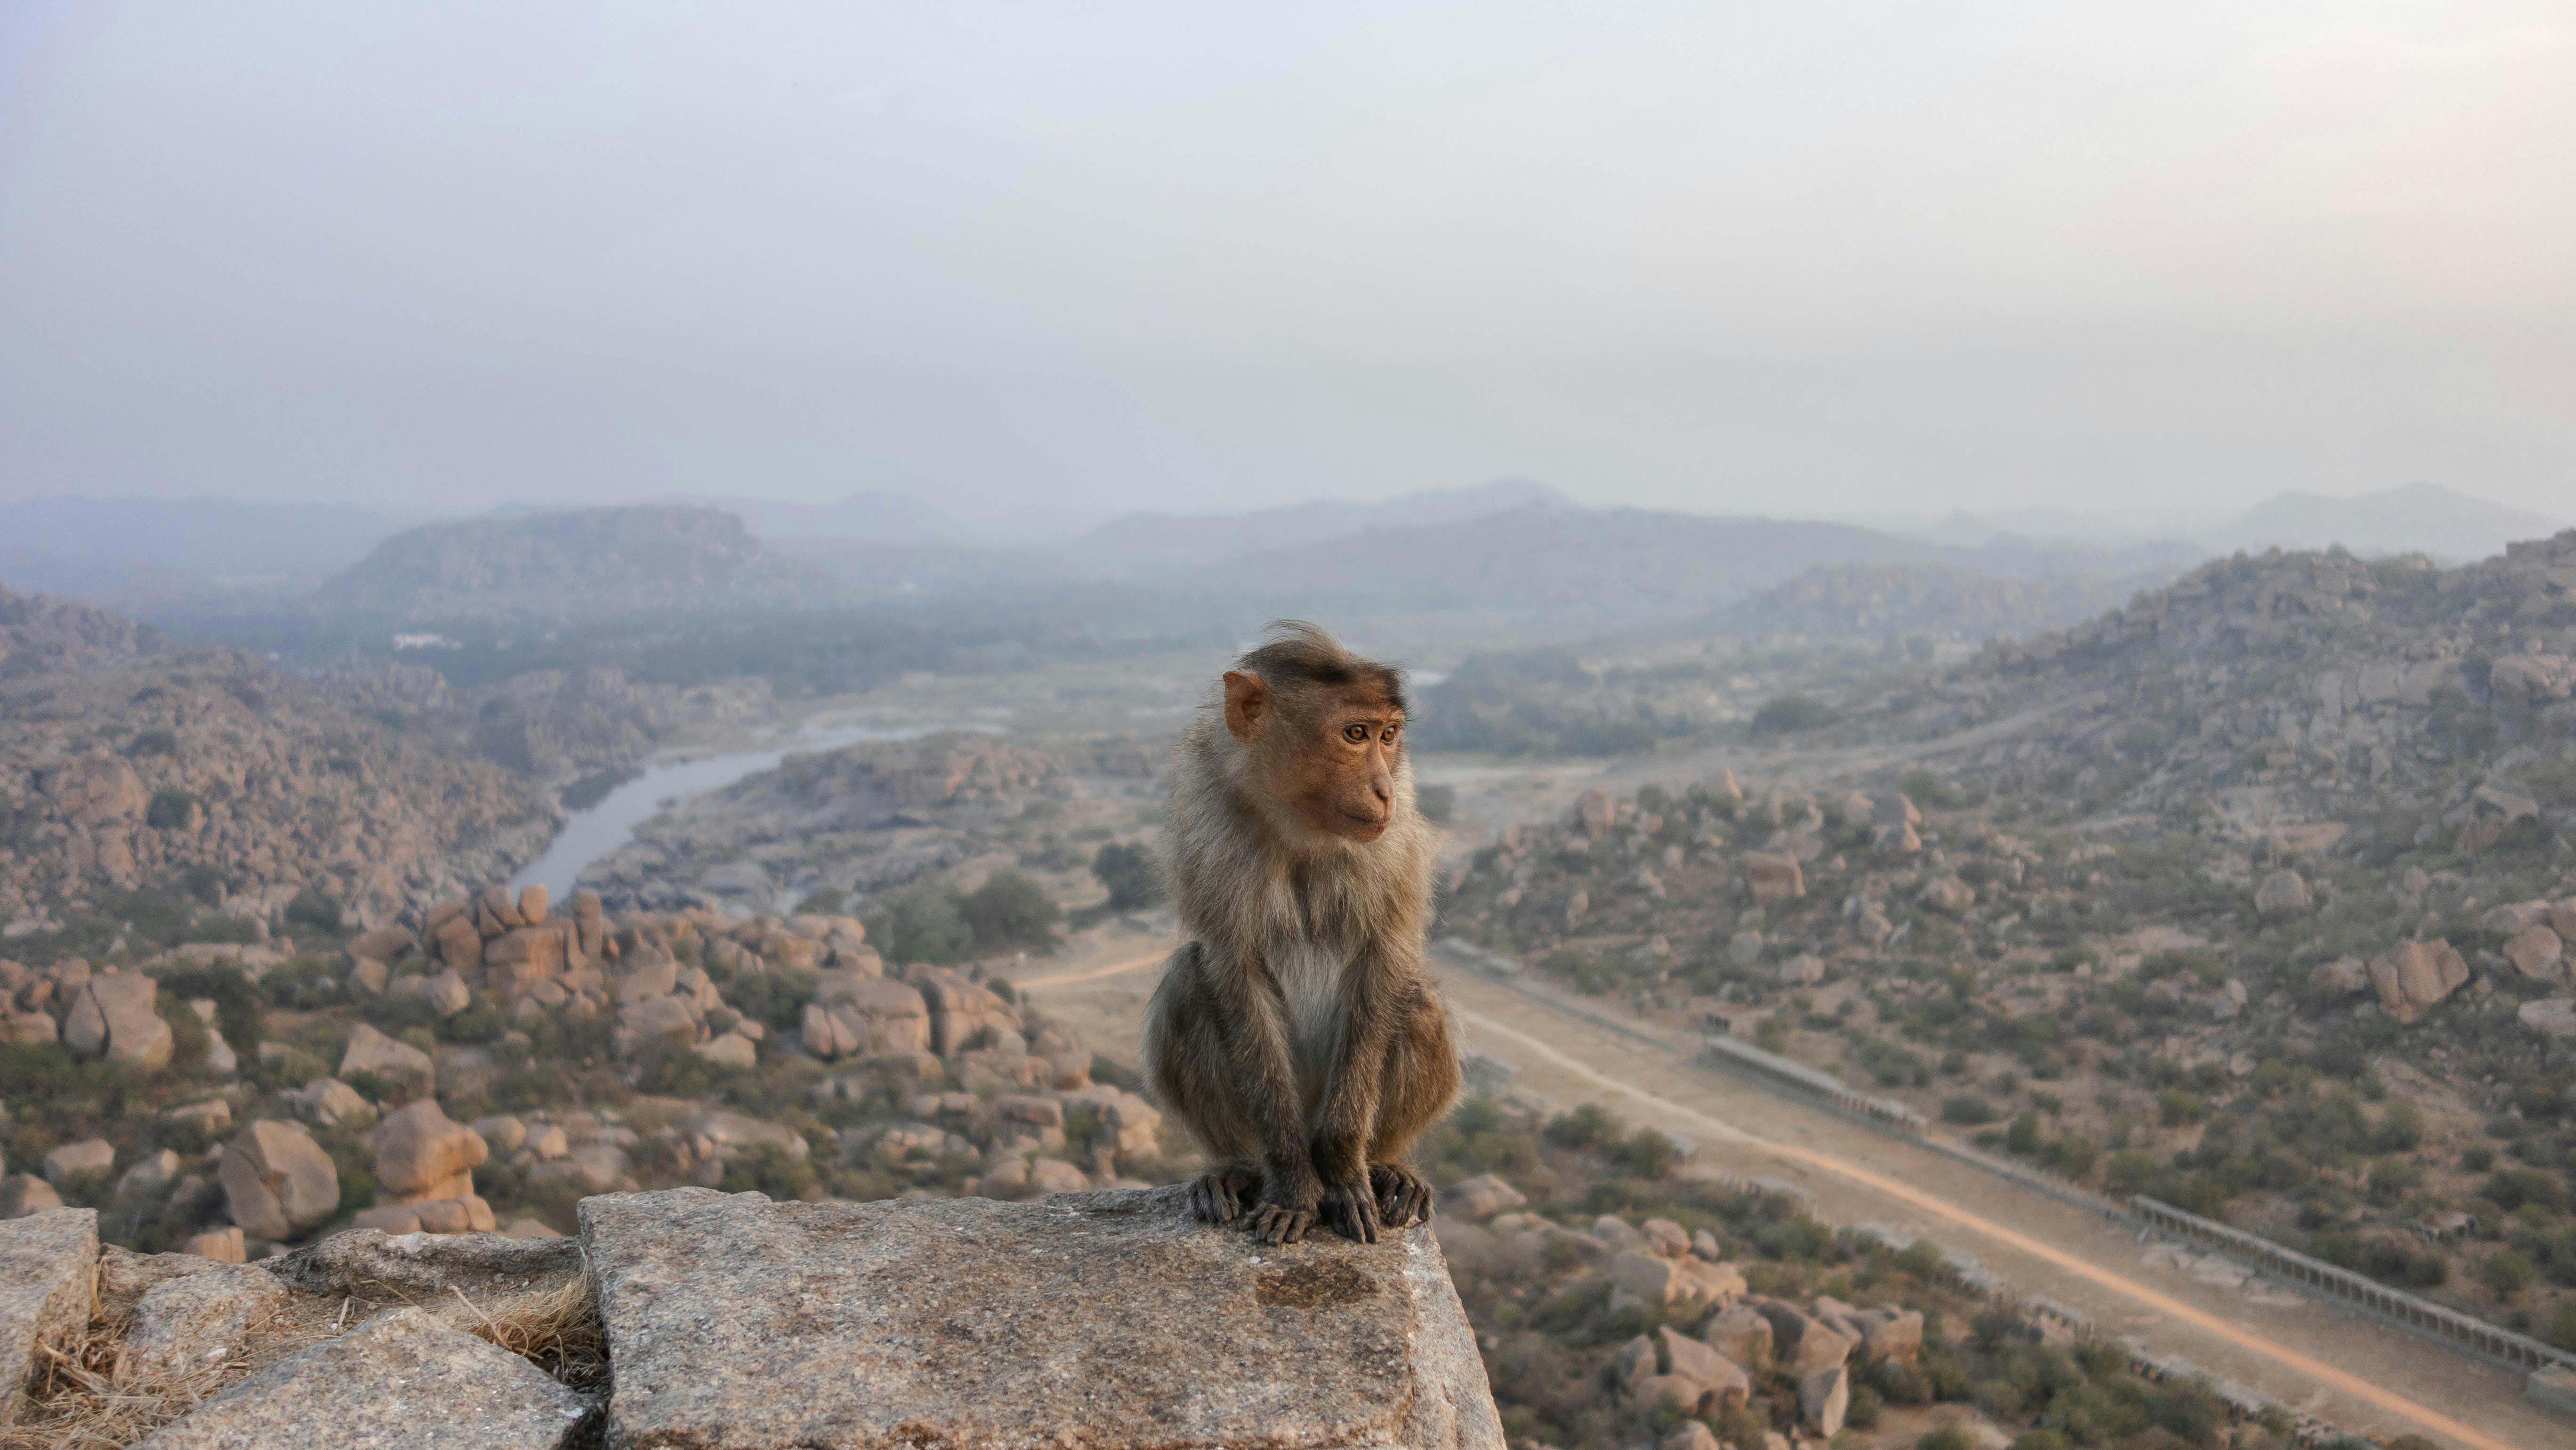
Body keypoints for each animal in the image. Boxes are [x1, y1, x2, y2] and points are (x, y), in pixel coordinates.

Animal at [1141, 621, 1460, 1246]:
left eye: (1389, 735)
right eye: (1355, 734)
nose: (1384, 789)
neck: (1300, 829)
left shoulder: (1395, 842)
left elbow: (1381, 965)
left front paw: (1341, 1173)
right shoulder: (1209, 825)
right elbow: (1233, 970)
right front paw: (1294, 1184)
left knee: (1414, 996)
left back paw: (1387, 1166)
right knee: (1188, 983)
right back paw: (1237, 1168)